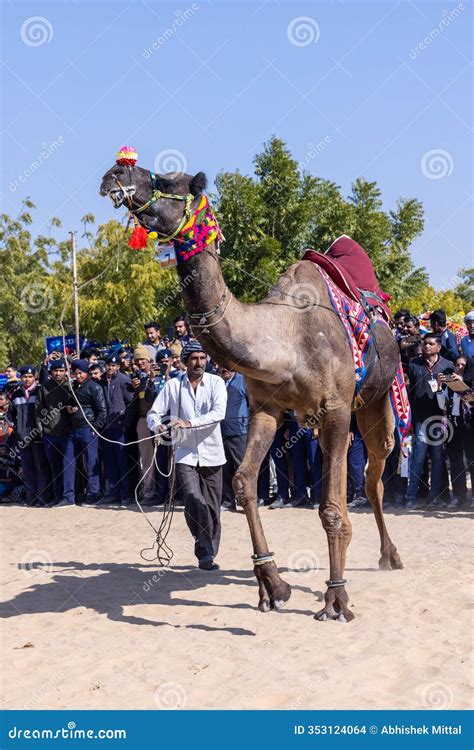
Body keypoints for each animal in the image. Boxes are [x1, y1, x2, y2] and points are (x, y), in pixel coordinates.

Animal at [100, 161, 404, 622]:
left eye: (167, 180)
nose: (117, 171)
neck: (284, 340)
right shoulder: (267, 408)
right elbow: (243, 483)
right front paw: (272, 585)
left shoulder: (335, 406)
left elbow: (330, 508)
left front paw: (336, 599)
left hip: (377, 397)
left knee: (373, 474)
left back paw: (389, 556)